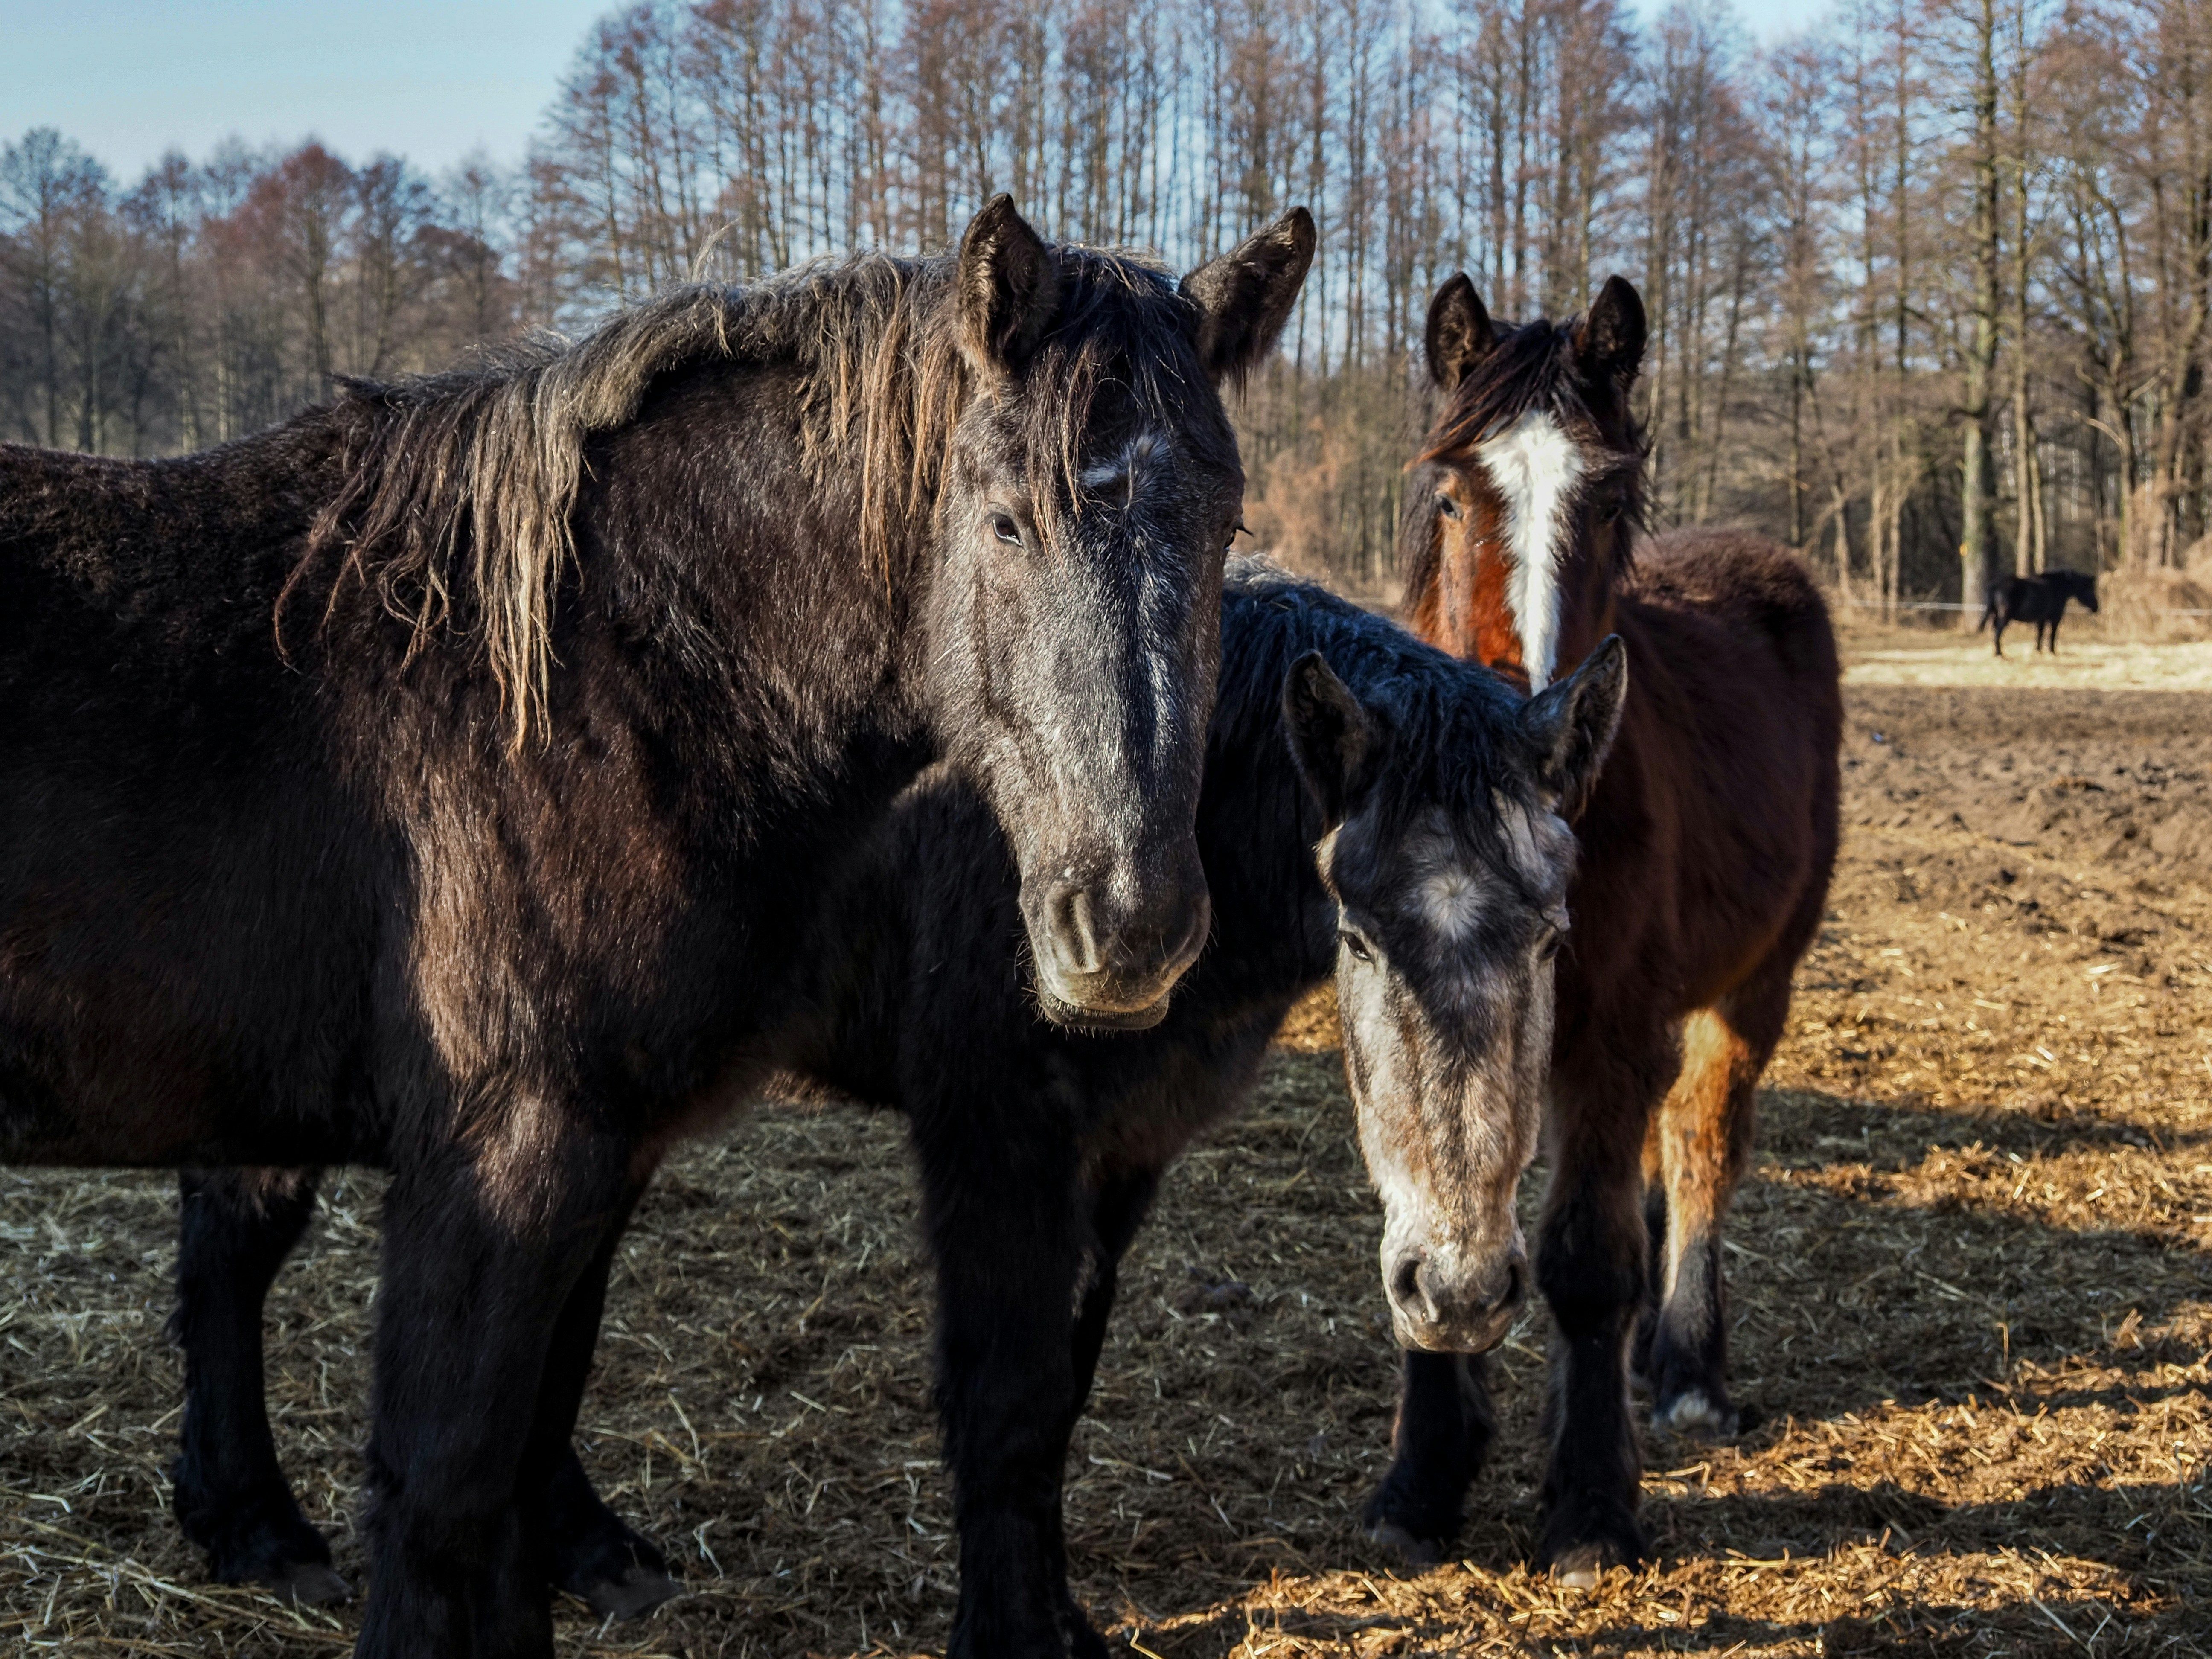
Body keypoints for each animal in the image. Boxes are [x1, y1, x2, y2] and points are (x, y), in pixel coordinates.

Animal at [0, 197, 1315, 1657]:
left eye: (1226, 524)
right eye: (1007, 522)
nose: (1132, 922)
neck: (586, 686)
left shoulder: (599, 1152)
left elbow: (519, 1473)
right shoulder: (504, 1157)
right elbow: (446, 1489)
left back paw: (252, 1526)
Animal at [161, 562, 1627, 1656]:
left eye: (1555, 934)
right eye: (1361, 931)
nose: (1459, 1289)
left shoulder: (1118, 1157)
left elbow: (1062, 1385)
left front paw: (1058, 1619)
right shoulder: (993, 1132)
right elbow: (1006, 1394)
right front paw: (1010, 1638)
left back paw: (591, 1552)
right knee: (236, 1242)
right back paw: (255, 1529)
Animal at [1374, 273, 1843, 1583]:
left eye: (1612, 498)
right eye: (1452, 493)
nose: (1532, 732)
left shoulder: (1616, 1029)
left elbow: (1589, 1259)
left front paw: (1588, 1504)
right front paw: (1424, 1475)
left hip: (1750, 989)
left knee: (1699, 1149)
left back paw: (1683, 1367)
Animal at [1979, 569, 2099, 655]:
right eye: (2090, 589)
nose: (2096, 608)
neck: (2057, 587)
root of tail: (1997, 585)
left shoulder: (2042, 620)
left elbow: (2040, 634)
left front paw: (2039, 651)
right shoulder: (2055, 619)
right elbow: (2052, 635)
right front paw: (2052, 651)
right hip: (2005, 618)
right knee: (1998, 632)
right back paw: (1999, 654)